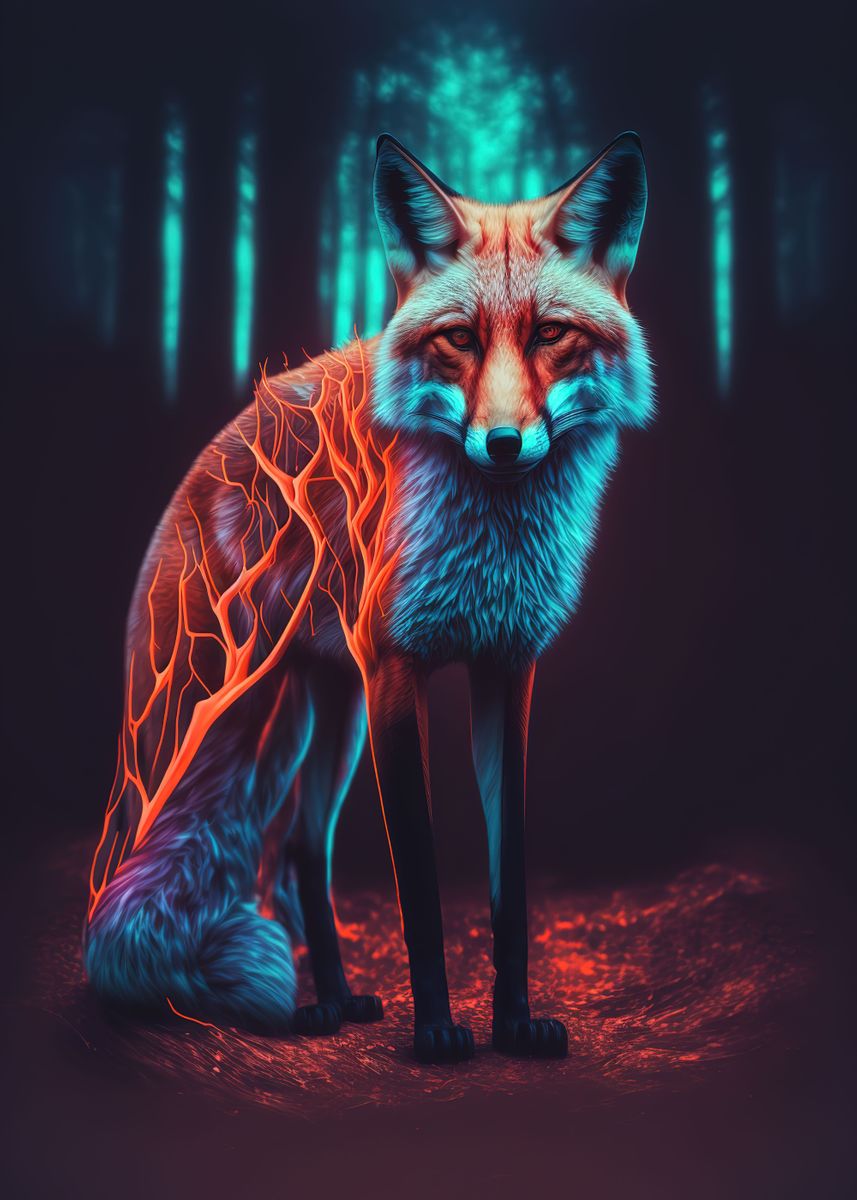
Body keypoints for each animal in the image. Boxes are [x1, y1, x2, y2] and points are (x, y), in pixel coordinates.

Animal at [84, 131, 654, 1064]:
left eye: (550, 335)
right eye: (458, 339)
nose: (503, 443)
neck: (489, 548)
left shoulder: (507, 667)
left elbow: (509, 879)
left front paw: (512, 1024)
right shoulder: (395, 670)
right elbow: (418, 883)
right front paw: (436, 1032)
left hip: (327, 707)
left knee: (298, 848)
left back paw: (336, 1000)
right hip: (232, 706)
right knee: (219, 852)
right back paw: (302, 1004)